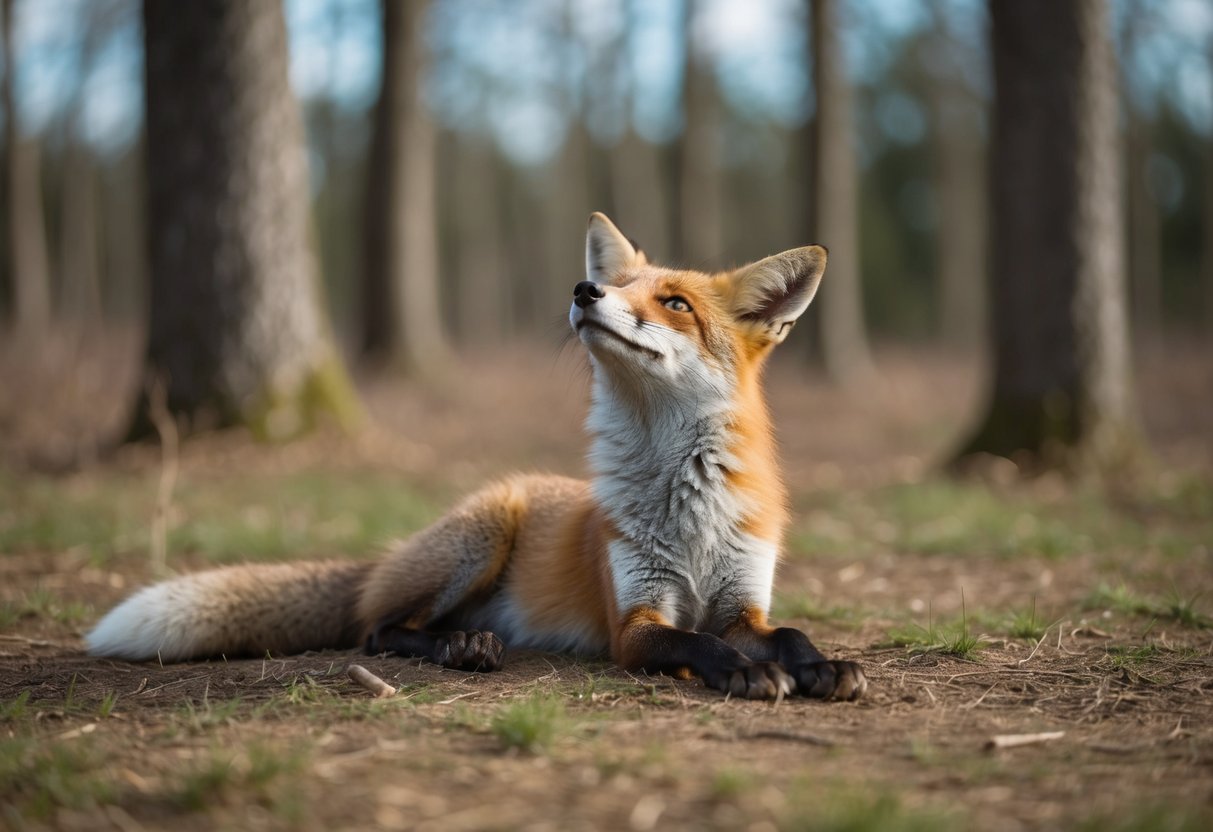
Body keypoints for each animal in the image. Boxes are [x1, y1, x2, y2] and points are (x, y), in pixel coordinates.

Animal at [87, 213, 866, 701]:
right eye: (617, 287)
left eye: (674, 302)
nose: (585, 290)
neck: (686, 507)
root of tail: (387, 556)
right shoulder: (635, 625)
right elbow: (698, 646)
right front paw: (745, 675)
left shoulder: (744, 606)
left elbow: (788, 632)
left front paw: (825, 667)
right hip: (480, 539)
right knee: (377, 631)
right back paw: (461, 647)